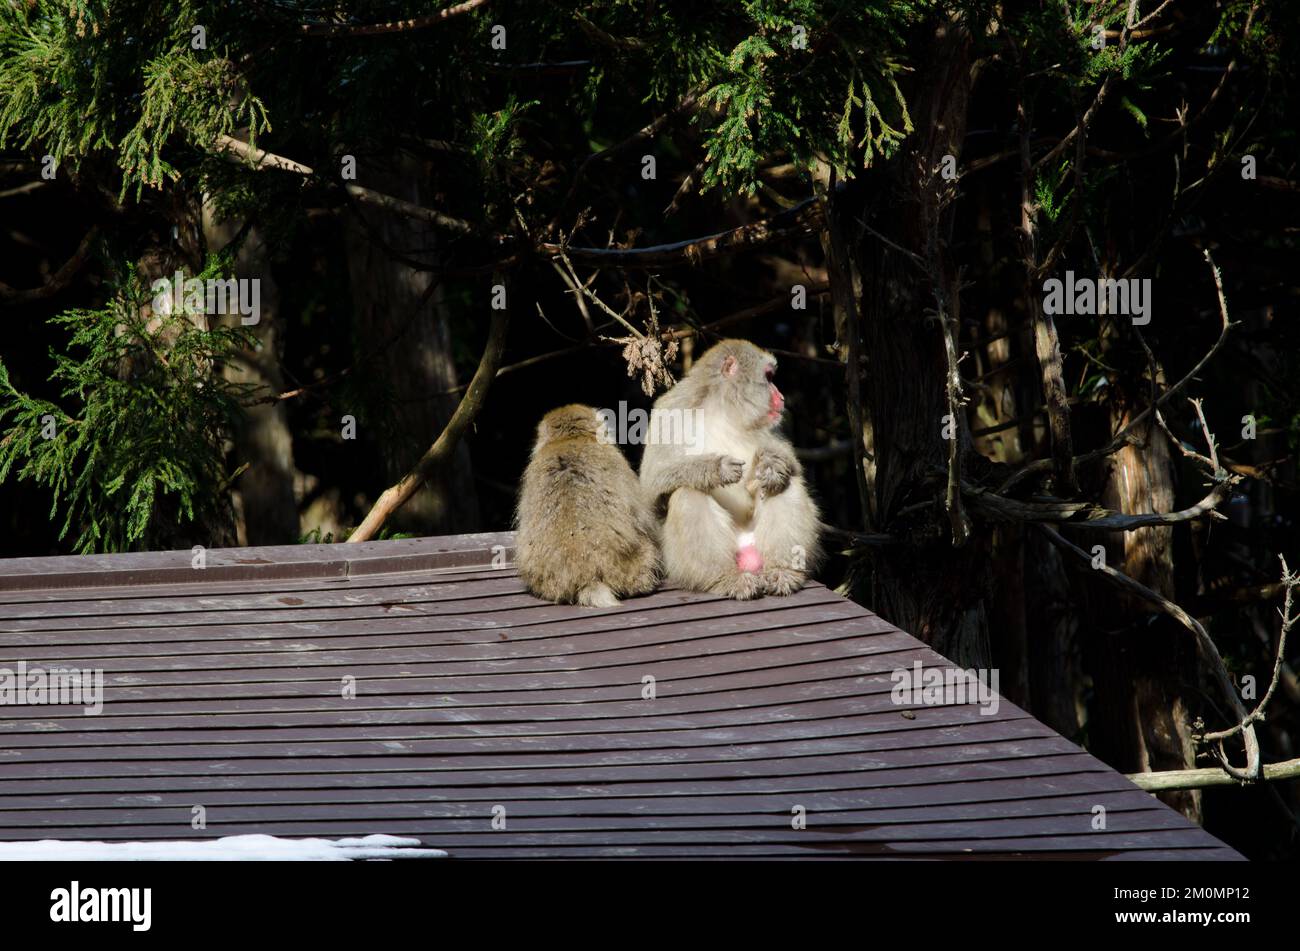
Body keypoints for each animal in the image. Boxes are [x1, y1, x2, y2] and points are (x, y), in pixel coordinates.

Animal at [639, 339, 822, 600]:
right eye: (769, 377)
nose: (781, 396)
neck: (723, 408)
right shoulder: (669, 412)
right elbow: (652, 487)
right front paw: (714, 469)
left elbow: (791, 465)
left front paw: (772, 463)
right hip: (677, 560)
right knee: (687, 492)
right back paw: (724, 578)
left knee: (785, 485)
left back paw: (782, 571)